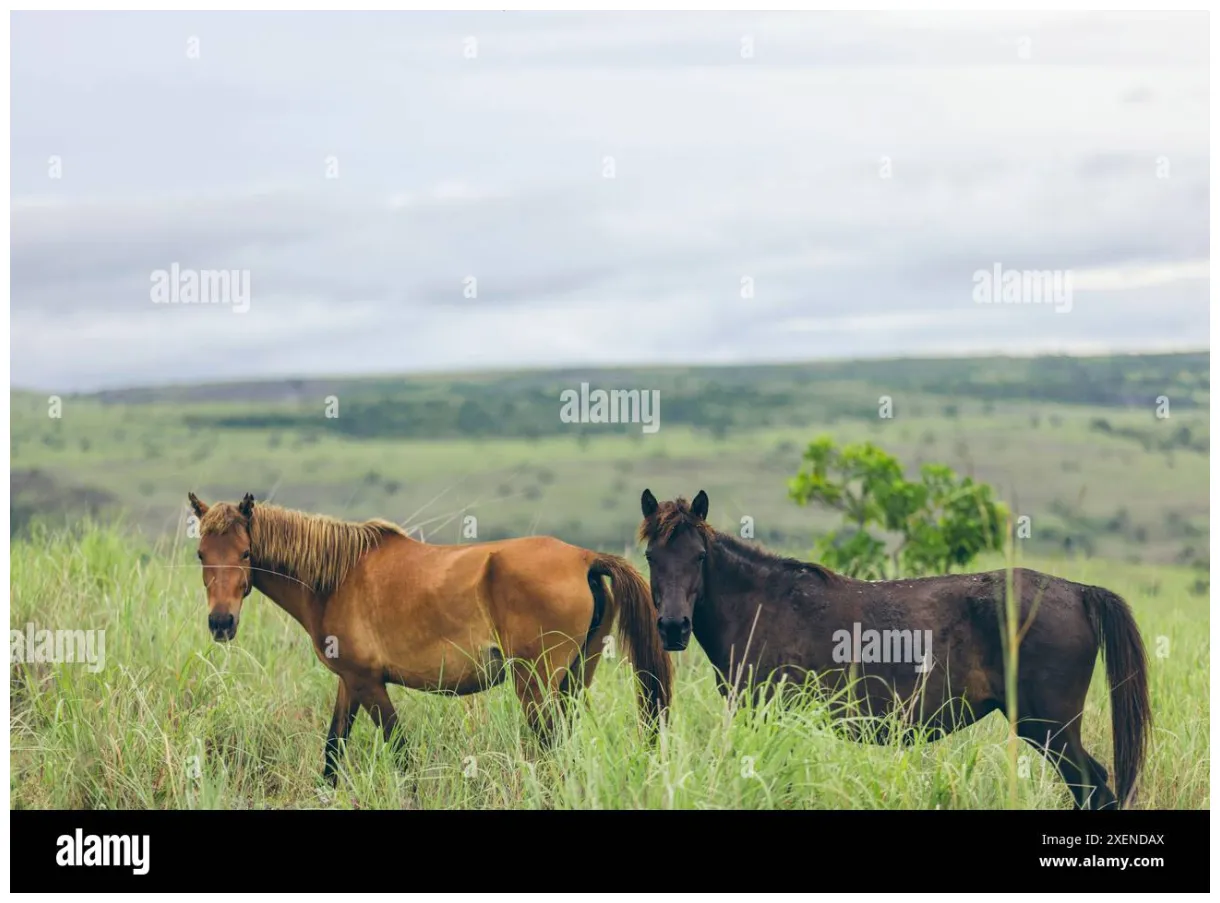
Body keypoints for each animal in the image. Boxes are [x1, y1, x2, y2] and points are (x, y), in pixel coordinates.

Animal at [187, 492, 670, 784]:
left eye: (245, 553)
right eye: (200, 554)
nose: (221, 622)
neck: (336, 576)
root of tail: (585, 558)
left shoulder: (368, 683)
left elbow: (400, 753)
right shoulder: (349, 683)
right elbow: (333, 751)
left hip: (534, 684)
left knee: (548, 748)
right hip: (573, 679)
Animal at [637, 489, 1152, 810]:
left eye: (699, 556)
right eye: (651, 557)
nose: (674, 628)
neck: (763, 603)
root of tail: (1079, 591)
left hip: (1050, 729)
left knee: (1094, 789)